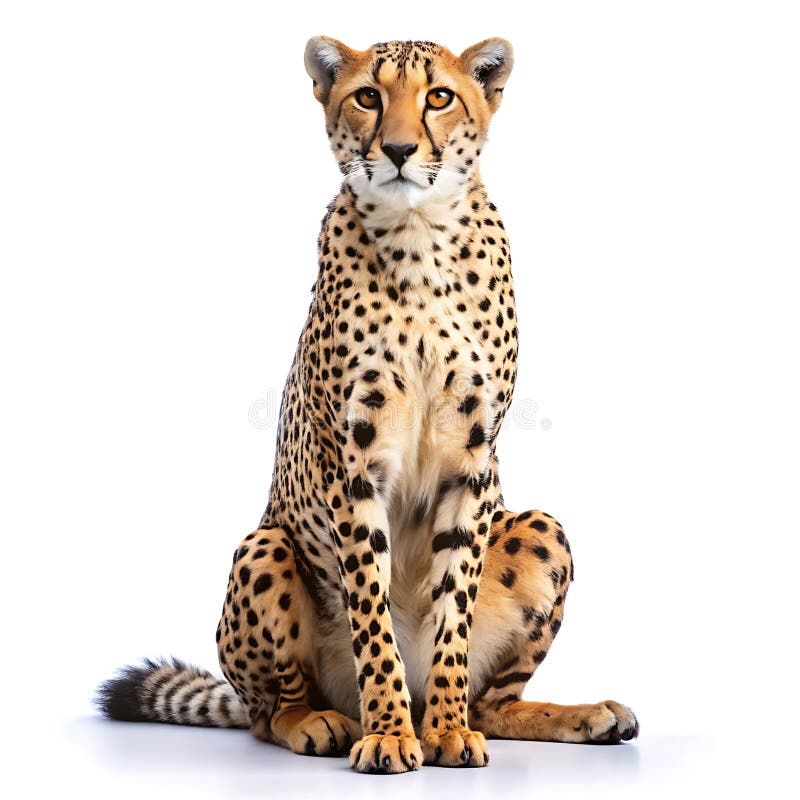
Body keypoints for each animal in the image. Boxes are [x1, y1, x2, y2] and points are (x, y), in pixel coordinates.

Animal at [97, 36, 639, 774]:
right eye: (367, 96)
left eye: (438, 96)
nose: (401, 149)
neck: (420, 234)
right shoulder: (352, 461)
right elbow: (372, 613)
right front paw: (387, 733)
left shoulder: (473, 459)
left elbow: (452, 611)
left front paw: (443, 731)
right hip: (264, 546)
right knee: (266, 714)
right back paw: (324, 721)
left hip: (540, 528)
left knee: (493, 705)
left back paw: (579, 714)